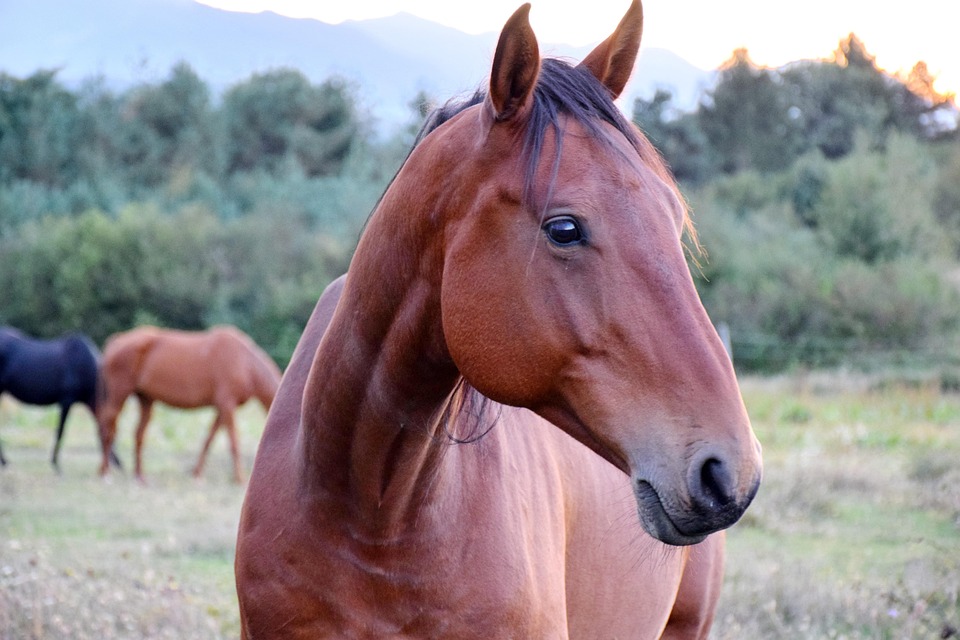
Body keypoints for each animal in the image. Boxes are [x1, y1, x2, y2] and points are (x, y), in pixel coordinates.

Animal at [96, 325, 282, 483]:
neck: (246, 362)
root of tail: (116, 340)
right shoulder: (227, 405)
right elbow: (234, 441)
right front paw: (239, 478)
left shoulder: (221, 409)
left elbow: (209, 439)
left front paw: (197, 473)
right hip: (119, 396)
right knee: (108, 429)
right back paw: (105, 473)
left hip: (146, 400)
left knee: (138, 434)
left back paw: (140, 476)